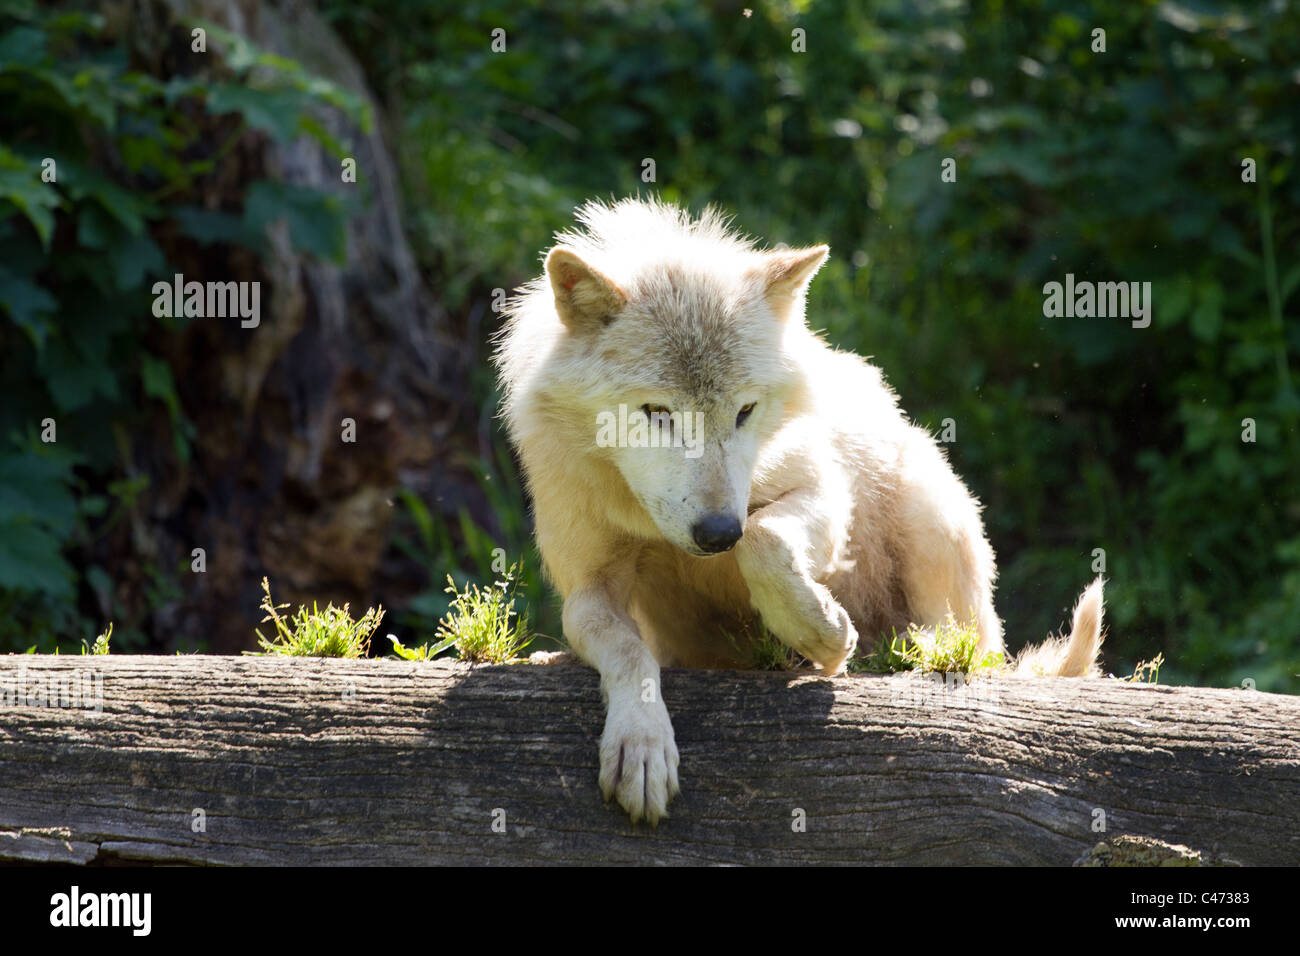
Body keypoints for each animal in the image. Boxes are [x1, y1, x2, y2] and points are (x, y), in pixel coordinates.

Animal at [494, 198, 1105, 825]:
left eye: (744, 412)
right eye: (657, 412)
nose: (718, 533)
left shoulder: (821, 491)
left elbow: (765, 542)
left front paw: (826, 634)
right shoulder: (590, 583)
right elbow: (625, 650)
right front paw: (640, 745)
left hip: (930, 511)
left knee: (964, 650)